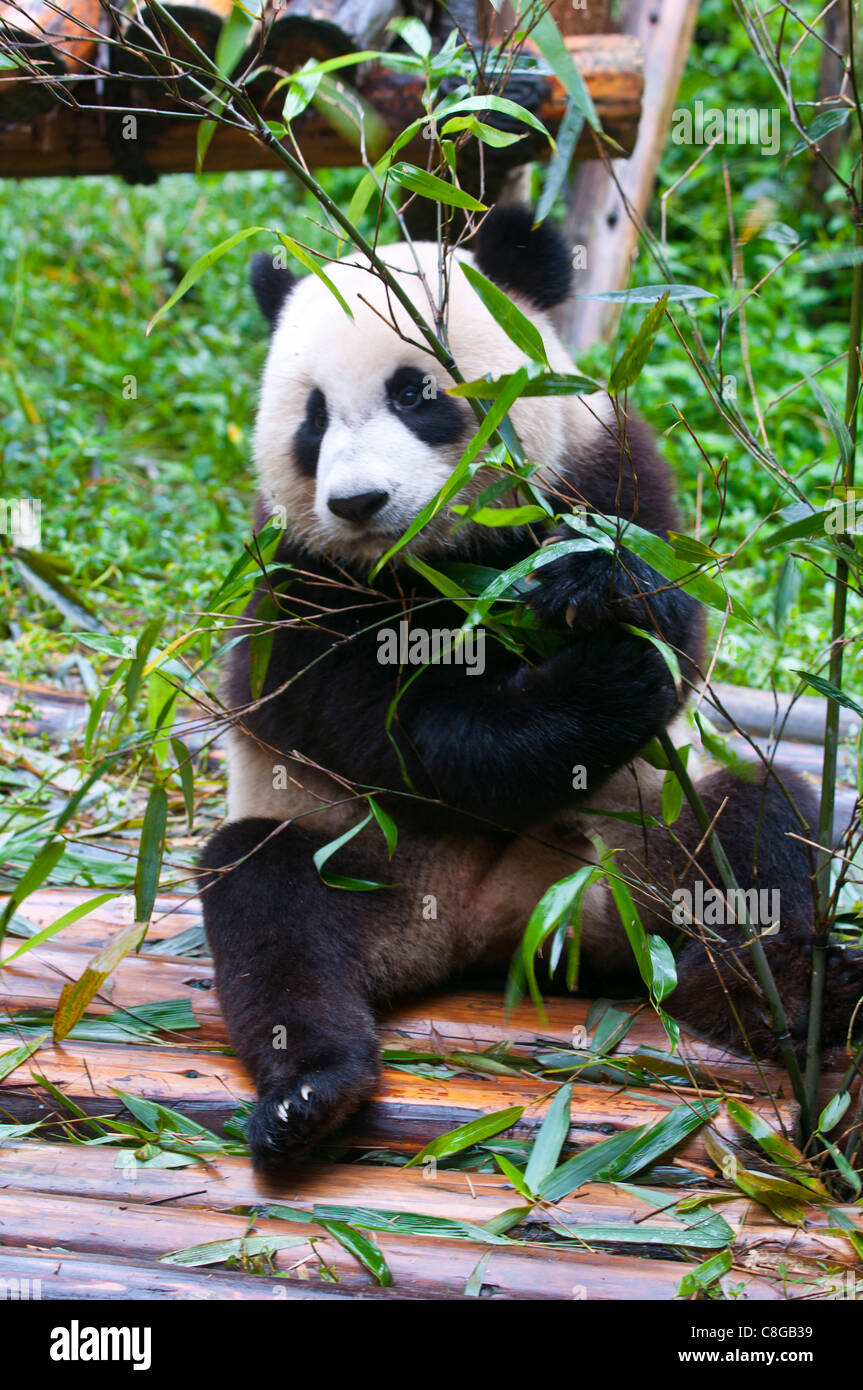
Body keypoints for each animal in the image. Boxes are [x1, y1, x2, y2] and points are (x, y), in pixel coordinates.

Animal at [199, 206, 863, 1173]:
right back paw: (310, 1093)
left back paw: (795, 995)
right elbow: (391, 733)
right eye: (312, 419)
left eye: (414, 393)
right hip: (358, 859)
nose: (357, 503)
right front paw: (599, 678)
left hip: (654, 840)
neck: (446, 560)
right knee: (269, 910)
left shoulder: (601, 464)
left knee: (756, 827)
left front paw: (599, 594)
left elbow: (674, 618)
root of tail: (508, 933)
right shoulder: (303, 576)